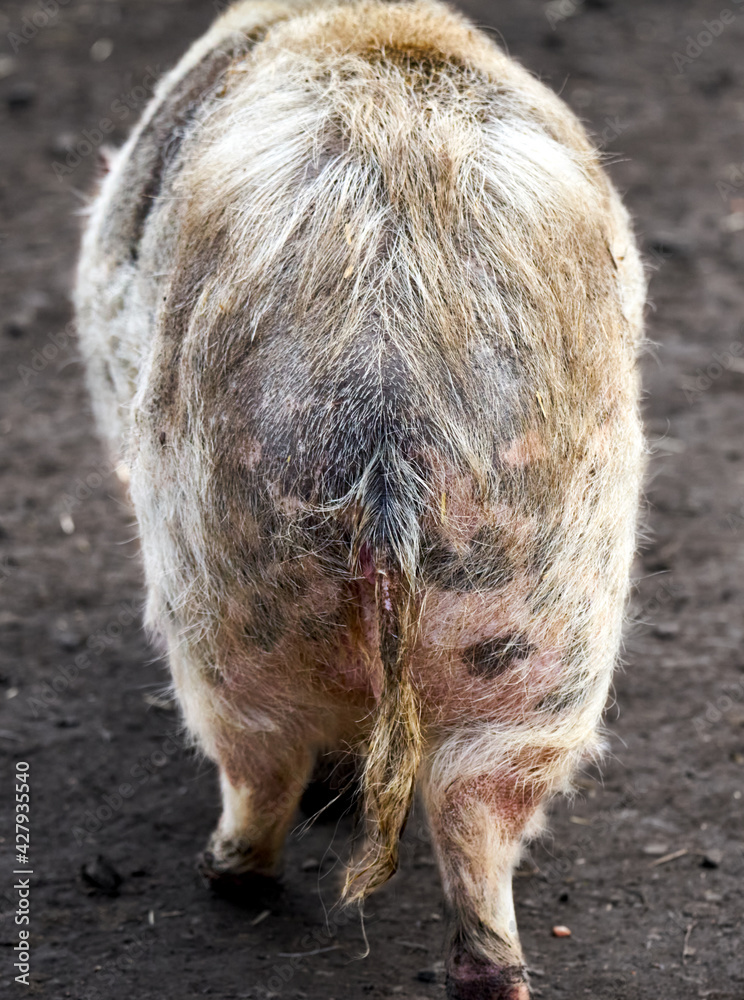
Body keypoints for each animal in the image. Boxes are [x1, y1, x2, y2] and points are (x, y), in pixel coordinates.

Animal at [75, 1, 645, 997]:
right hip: (543, 621)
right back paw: (492, 971)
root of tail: (390, 379)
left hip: (222, 581)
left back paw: (227, 874)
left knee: (257, 760)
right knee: (484, 812)